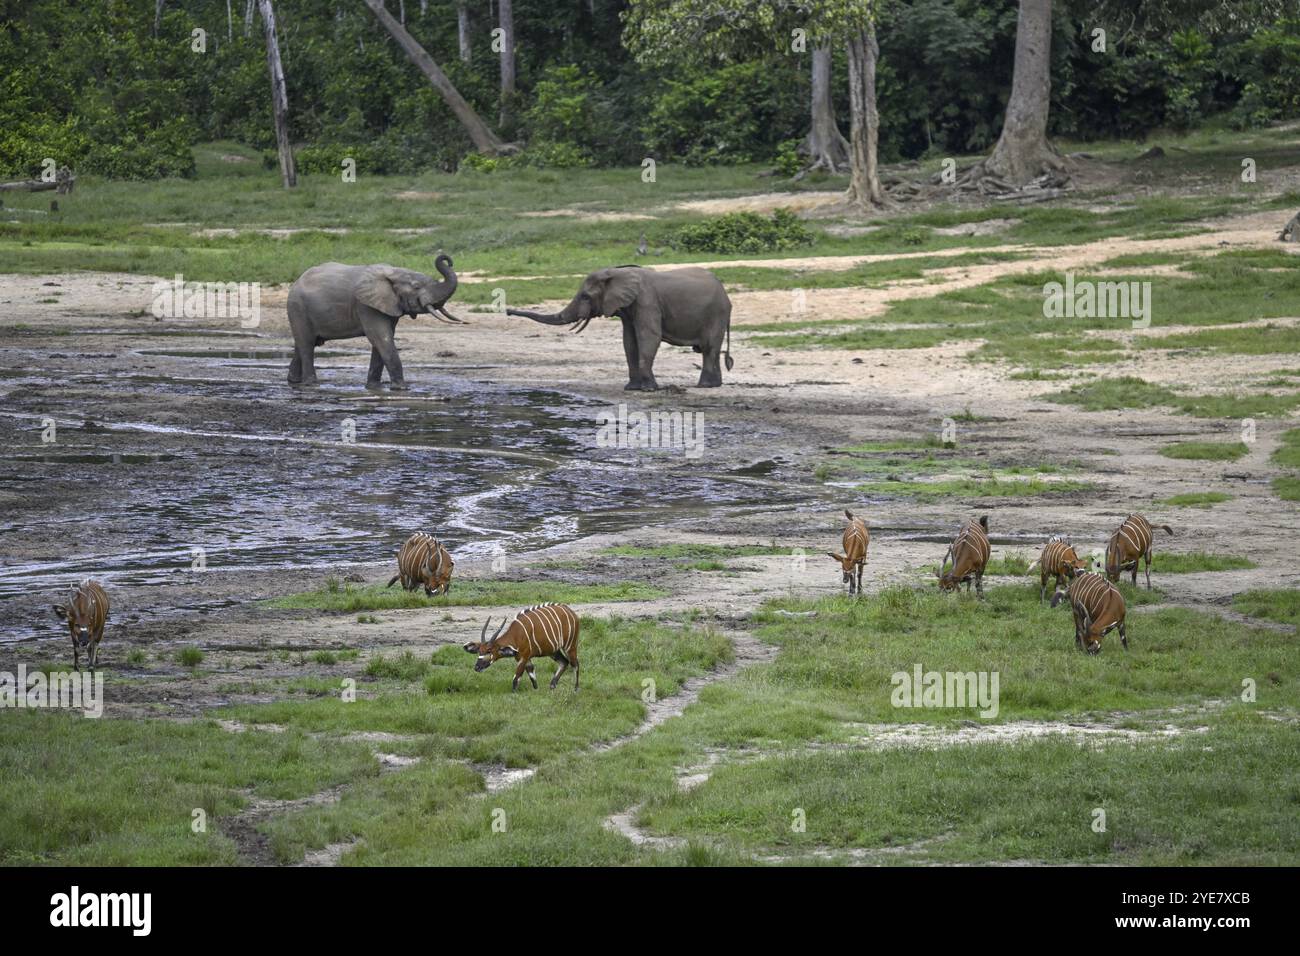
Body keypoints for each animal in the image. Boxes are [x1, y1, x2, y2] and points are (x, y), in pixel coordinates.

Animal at [286, 254, 463, 389]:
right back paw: (311, 384)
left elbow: (383, 339)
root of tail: (296, 281)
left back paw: (293, 381)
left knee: (304, 344)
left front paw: (374, 388)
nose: (448, 260)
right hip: (297, 308)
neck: (394, 272)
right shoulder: (365, 305)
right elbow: (381, 338)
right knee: (307, 344)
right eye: (416, 286)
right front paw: (401, 389)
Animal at [507, 266, 733, 390]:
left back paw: (704, 386)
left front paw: (649, 389)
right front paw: (632, 389)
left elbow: (648, 337)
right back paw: (714, 385)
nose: (507, 311)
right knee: (710, 350)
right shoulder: (628, 308)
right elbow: (629, 341)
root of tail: (726, 294)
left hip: (717, 313)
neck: (617, 273)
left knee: (709, 348)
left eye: (585, 296)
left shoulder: (647, 301)